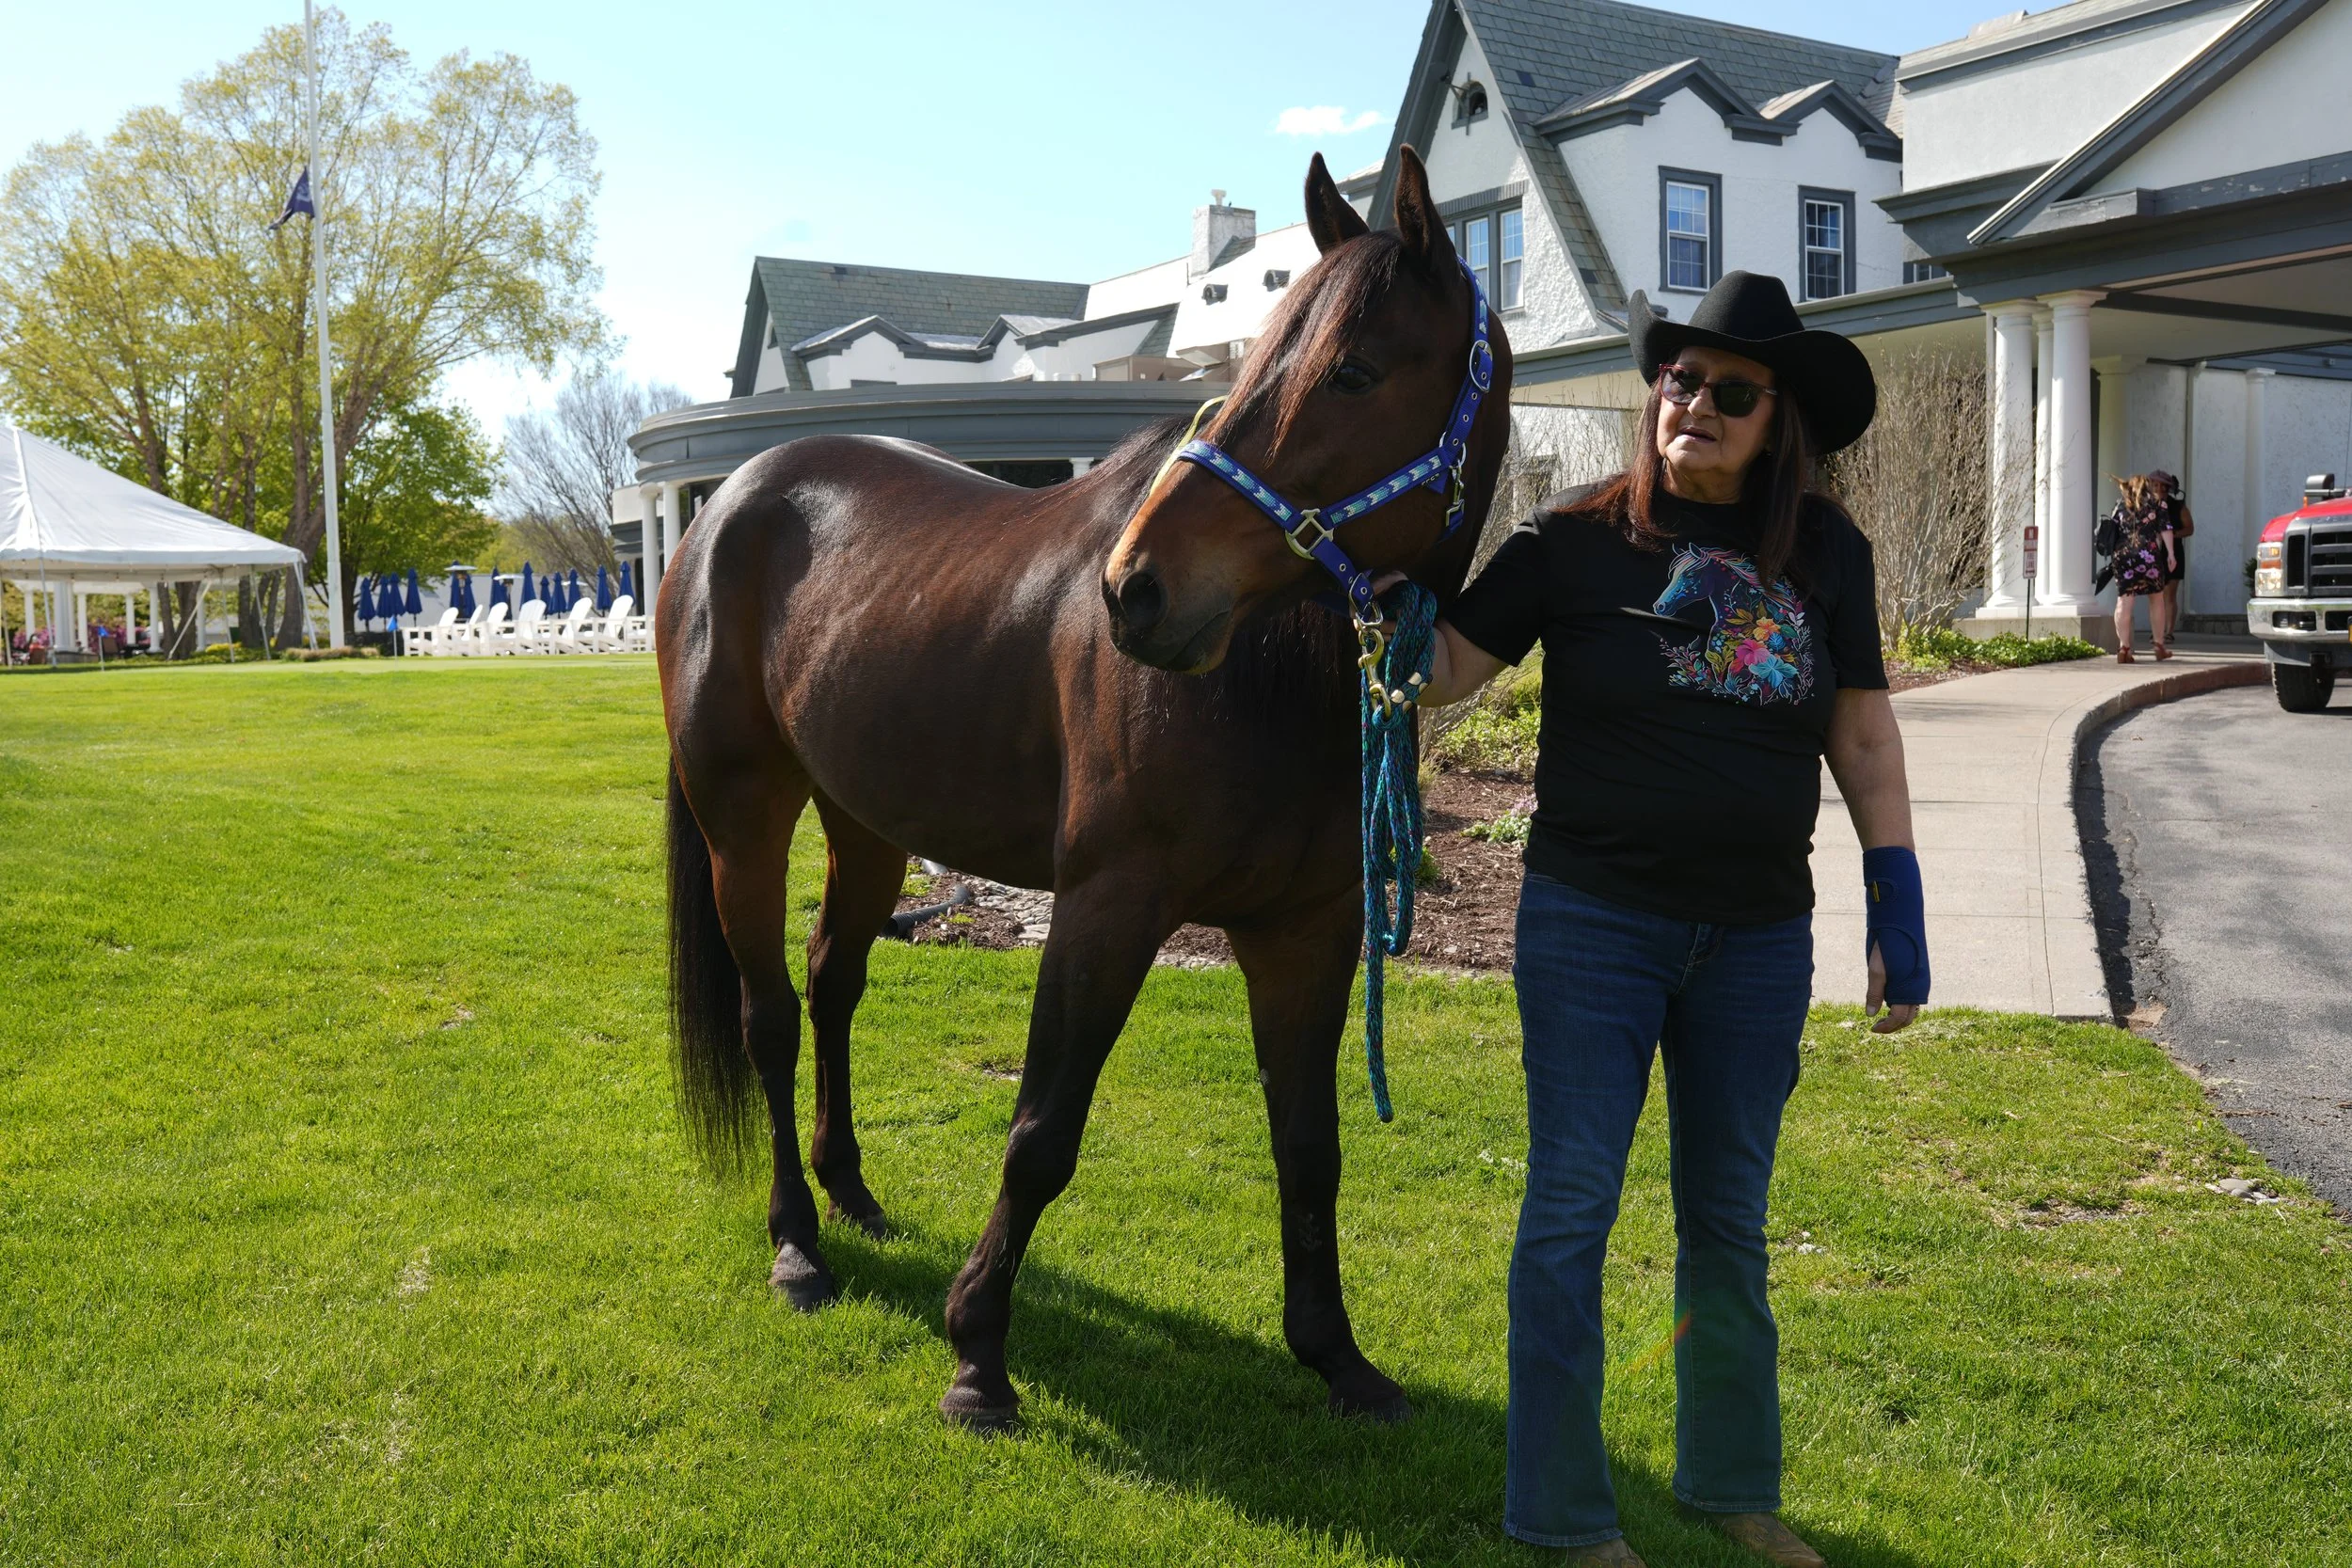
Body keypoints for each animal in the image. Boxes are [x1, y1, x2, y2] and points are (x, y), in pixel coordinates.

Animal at [657, 146, 1514, 1430]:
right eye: (1252, 367)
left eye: (1354, 371)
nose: (1137, 590)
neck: (1273, 673)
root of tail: (729, 498)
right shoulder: (1107, 906)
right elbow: (1042, 1130)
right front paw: (976, 1352)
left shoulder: (1306, 930)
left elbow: (1309, 1145)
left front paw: (1336, 1354)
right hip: (743, 819)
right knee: (770, 1018)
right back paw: (798, 1244)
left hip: (868, 826)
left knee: (832, 985)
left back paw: (850, 1190)